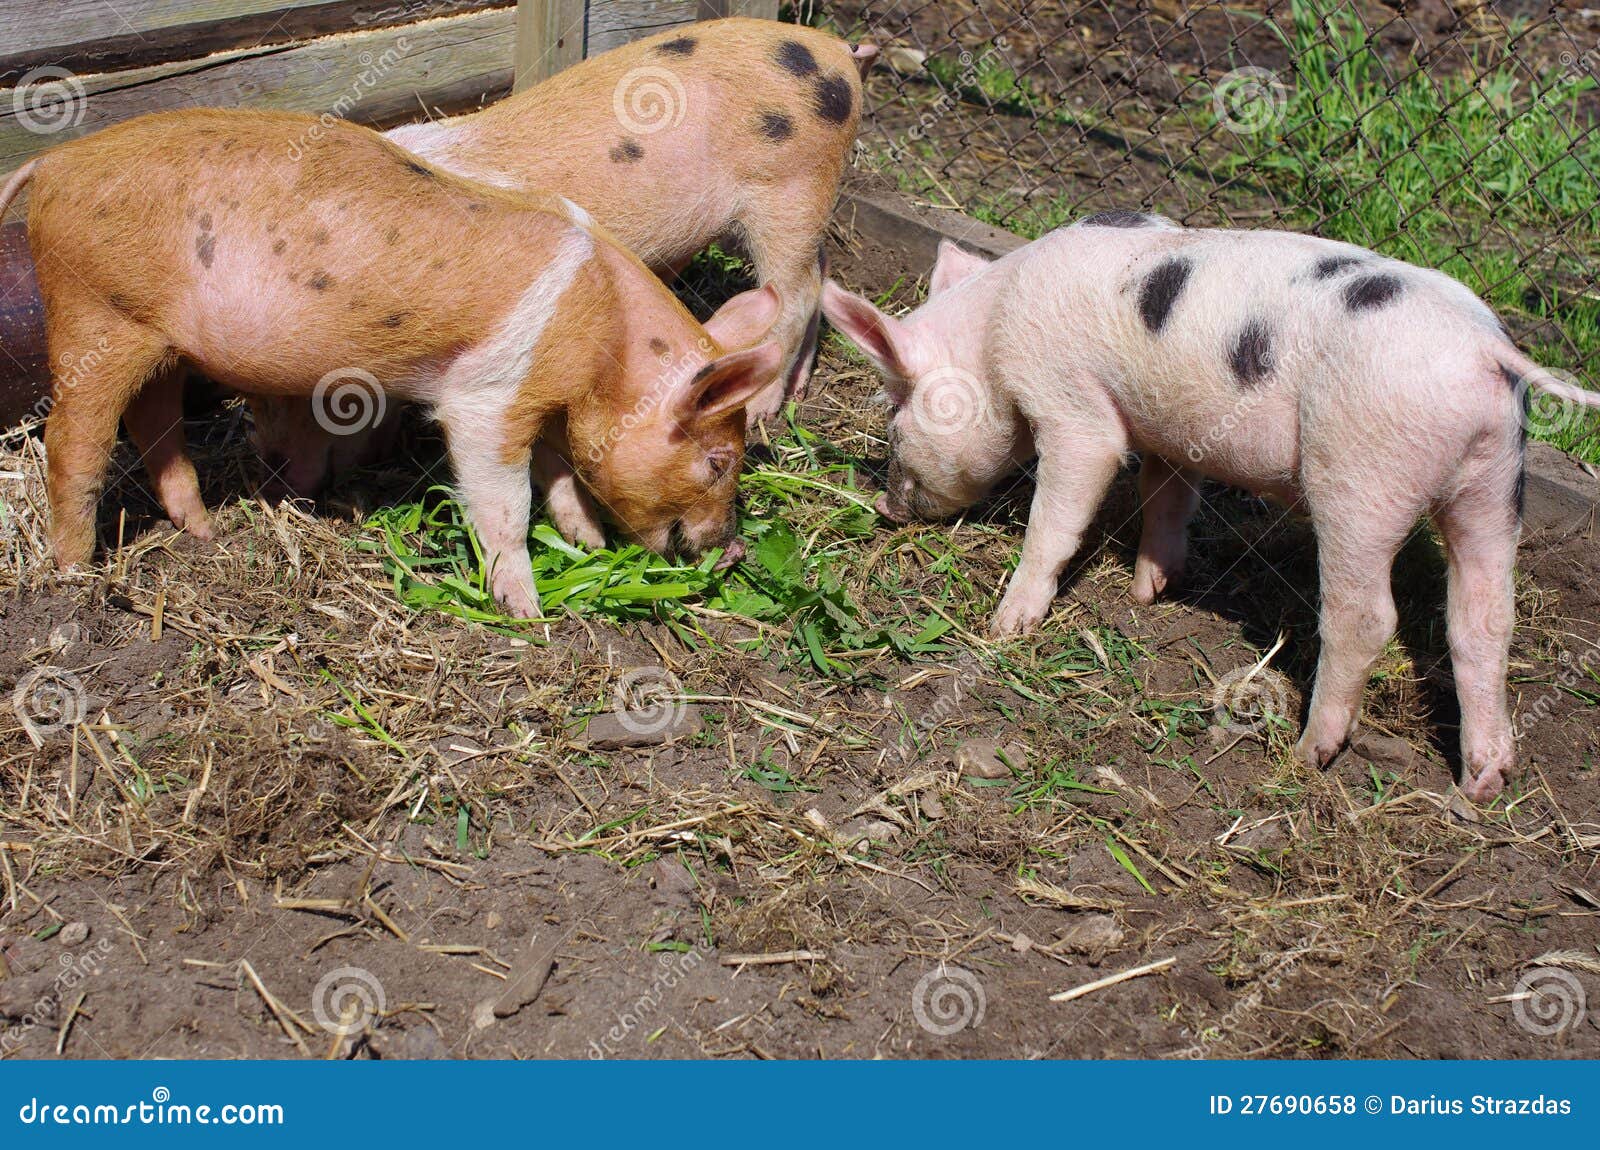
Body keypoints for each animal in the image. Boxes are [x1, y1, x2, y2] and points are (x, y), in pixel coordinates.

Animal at [2, 109, 785, 618]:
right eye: (719, 461)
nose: (730, 550)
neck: (604, 339)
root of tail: (51, 163)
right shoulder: (487, 396)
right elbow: (505, 501)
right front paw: (529, 615)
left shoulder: (545, 403)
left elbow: (559, 473)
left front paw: (585, 541)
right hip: (93, 313)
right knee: (72, 442)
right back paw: (74, 573)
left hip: (158, 341)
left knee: (156, 425)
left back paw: (203, 532)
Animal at [252, 16, 877, 502]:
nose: (276, 475)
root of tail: (837, 51)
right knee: (820, 272)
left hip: (790, 192)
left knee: (795, 293)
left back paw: (769, 411)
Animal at [821, 212, 1600, 802]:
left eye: (894, 421)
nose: (885, 506)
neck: (992, 336)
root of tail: (1488, 351)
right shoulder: (1169, 428)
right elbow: (1166, 498)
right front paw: (1148, 590)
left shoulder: (1074, 407)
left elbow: (1066, 503)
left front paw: (1006, 626)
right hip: (1494, 479)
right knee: (1484, 619)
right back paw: (1483, 783)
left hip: (1364, 475)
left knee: (1368, 617)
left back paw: (1307, 754)